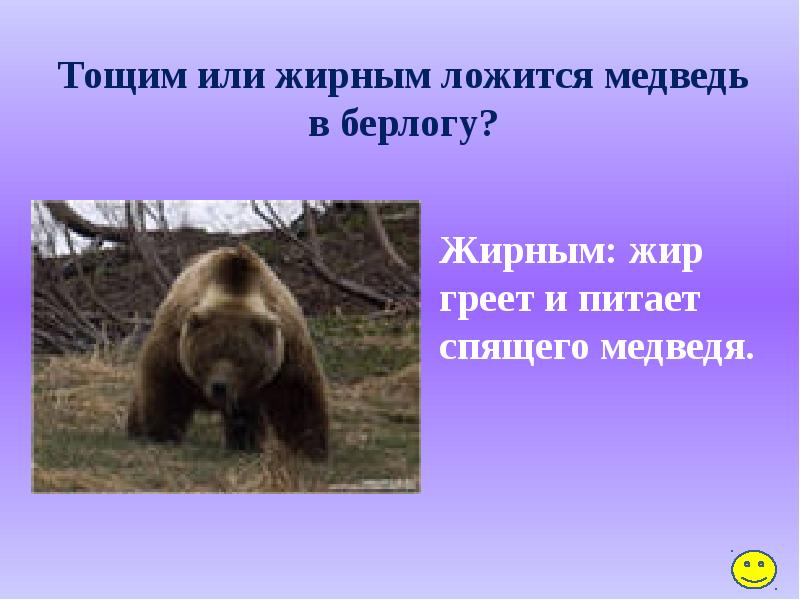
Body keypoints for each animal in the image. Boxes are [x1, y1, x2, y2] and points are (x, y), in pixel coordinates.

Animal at [126, 243, 328, 461]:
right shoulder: (175, 339)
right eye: (208, 355)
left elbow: (297, 395)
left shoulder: (287, 347)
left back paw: (245, 444)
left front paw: (311, 449)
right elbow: (166, 385)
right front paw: (161, 434)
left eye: (242, 359)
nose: (219, 387)